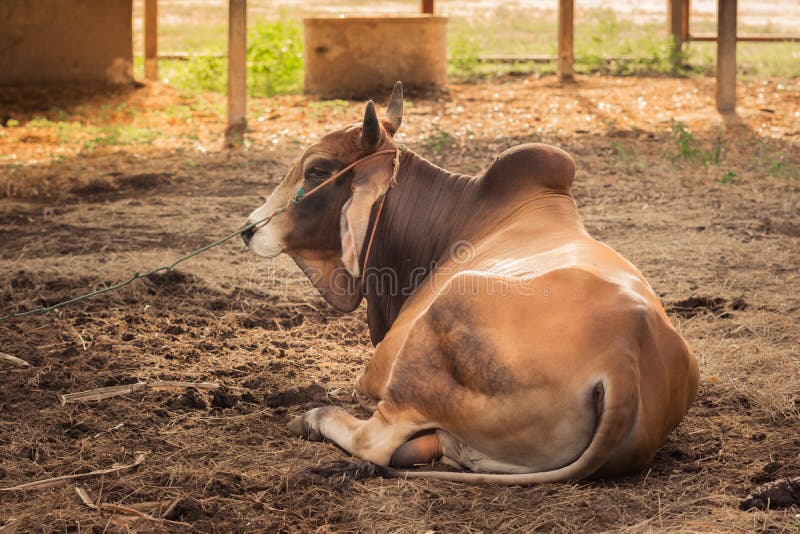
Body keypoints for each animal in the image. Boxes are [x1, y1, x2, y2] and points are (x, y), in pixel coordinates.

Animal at [241, 82, 699, 483]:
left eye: (316, 169)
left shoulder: (378, 368)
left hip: (440, 321)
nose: (248, 229)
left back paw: (313, 418)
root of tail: (623, 359)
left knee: (377, 441)